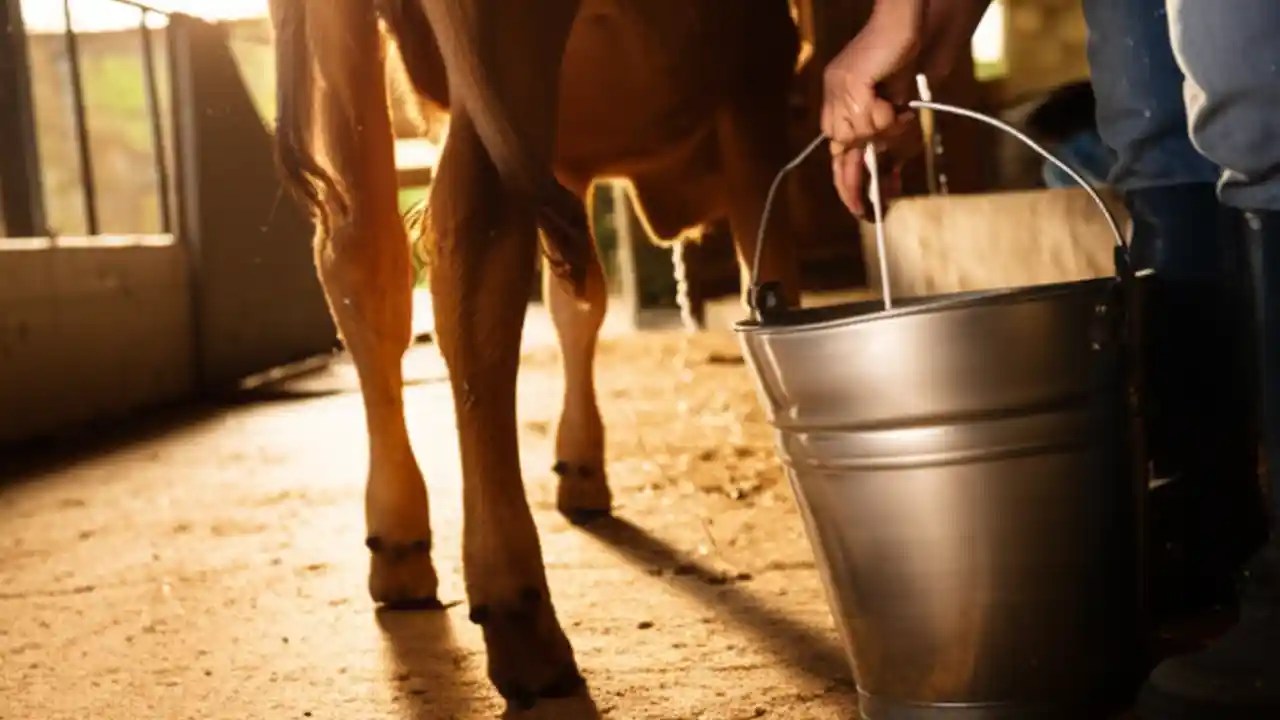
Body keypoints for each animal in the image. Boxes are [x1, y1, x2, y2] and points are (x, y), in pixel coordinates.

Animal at [268, 0, 803, 705]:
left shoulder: (568, 157)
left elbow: (579, 302)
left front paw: (580, 468)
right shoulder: (757, 73)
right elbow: (769, 266)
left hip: (351, 43)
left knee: (361, 256)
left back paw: (400, 550)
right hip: (510, 31)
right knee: (474, 233)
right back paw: (521, 618)